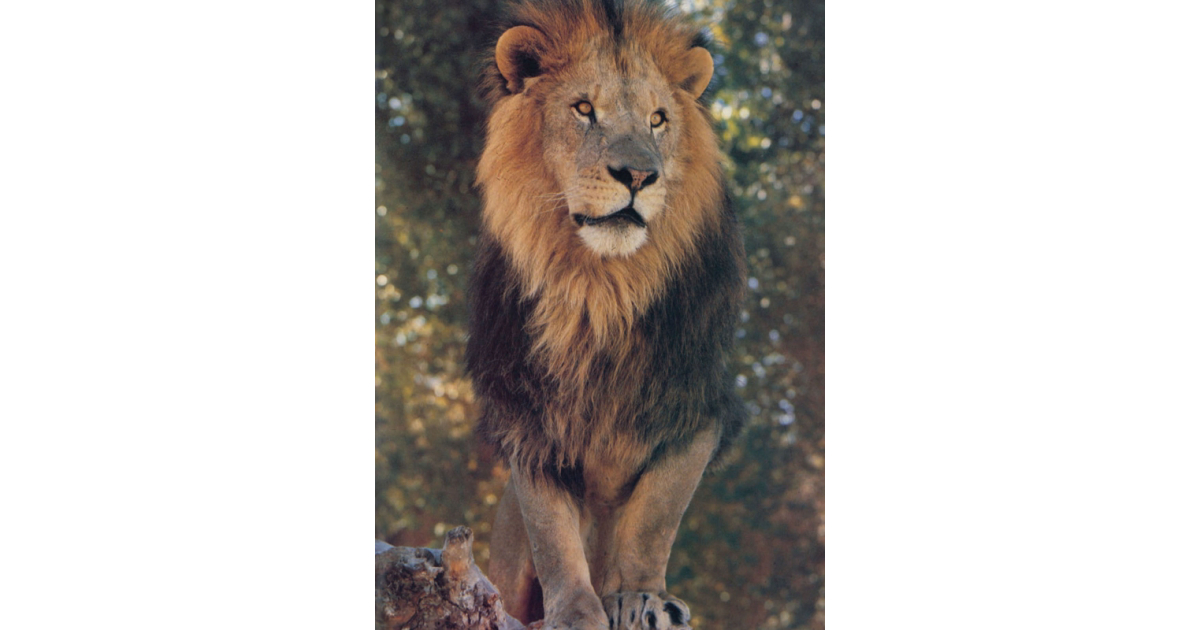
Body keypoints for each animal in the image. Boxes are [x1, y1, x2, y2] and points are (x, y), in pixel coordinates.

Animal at [465, 1, 747, 628]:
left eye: (658, 120)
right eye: (583, 109)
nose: (639, 176)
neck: (600, 287)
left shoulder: (696, 409)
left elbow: (654, 520)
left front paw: (641, 595)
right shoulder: (527, 418)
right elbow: (552, 535)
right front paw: (574, 610)